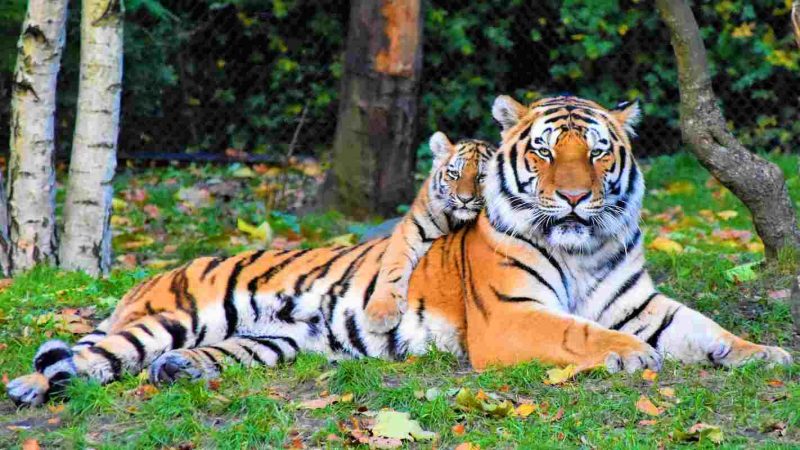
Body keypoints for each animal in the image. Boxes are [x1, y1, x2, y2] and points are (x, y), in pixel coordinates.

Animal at [364, 132, 495, 333]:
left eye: (482, 177)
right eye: (454, 174)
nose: (464, 199)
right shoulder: (409, 231)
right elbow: (392, 268)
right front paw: (381, 314)